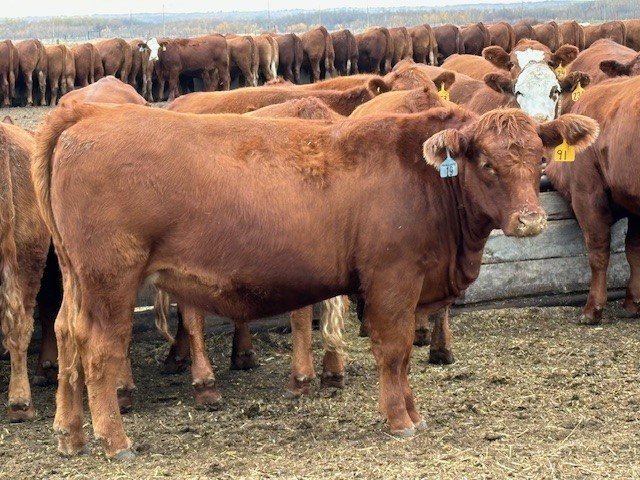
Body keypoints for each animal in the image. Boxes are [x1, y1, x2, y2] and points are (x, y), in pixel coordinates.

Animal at [34, 99, 597, 458]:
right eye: (484, 161)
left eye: (539, 156)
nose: (530, 220)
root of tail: (89, 115)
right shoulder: (392, 279)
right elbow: (394, 351)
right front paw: (400, 420)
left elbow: (403, 358)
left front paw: (413, 412)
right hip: (111, 278)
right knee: (100, 349)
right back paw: (114, 441)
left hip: (77, 280)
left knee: (65, 336)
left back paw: (70, 435)